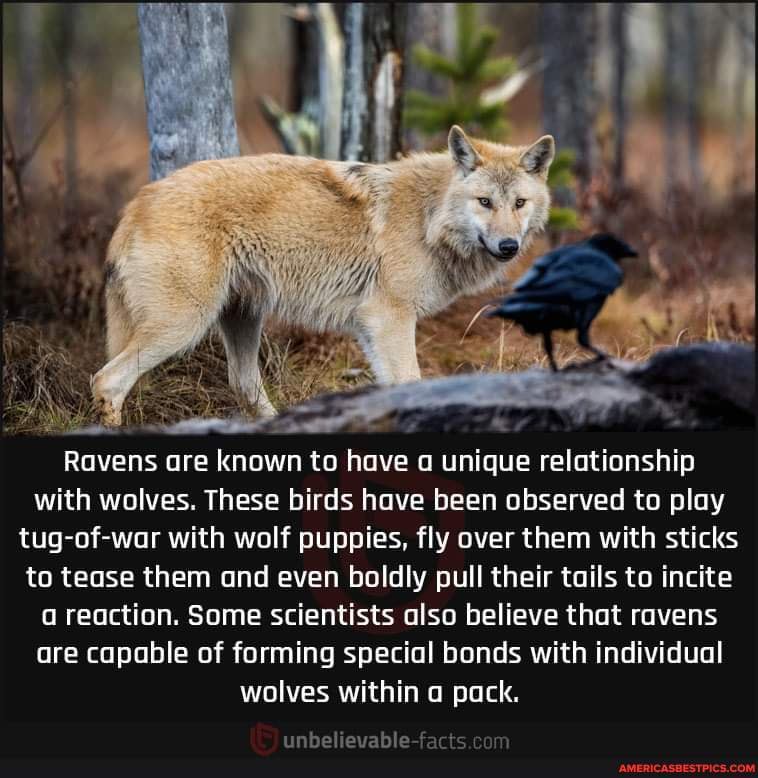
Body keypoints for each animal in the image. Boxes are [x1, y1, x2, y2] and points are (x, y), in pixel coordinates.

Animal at [93, 125, 555, 425]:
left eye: (519, 203)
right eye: (484, 202)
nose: (509, 246)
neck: (429, 217)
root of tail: (136, 203)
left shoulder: (372, 327)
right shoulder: (389, 319)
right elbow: (410, 382)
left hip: (241, 320)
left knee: (244, 388)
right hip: (183, 326)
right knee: (106, 381)